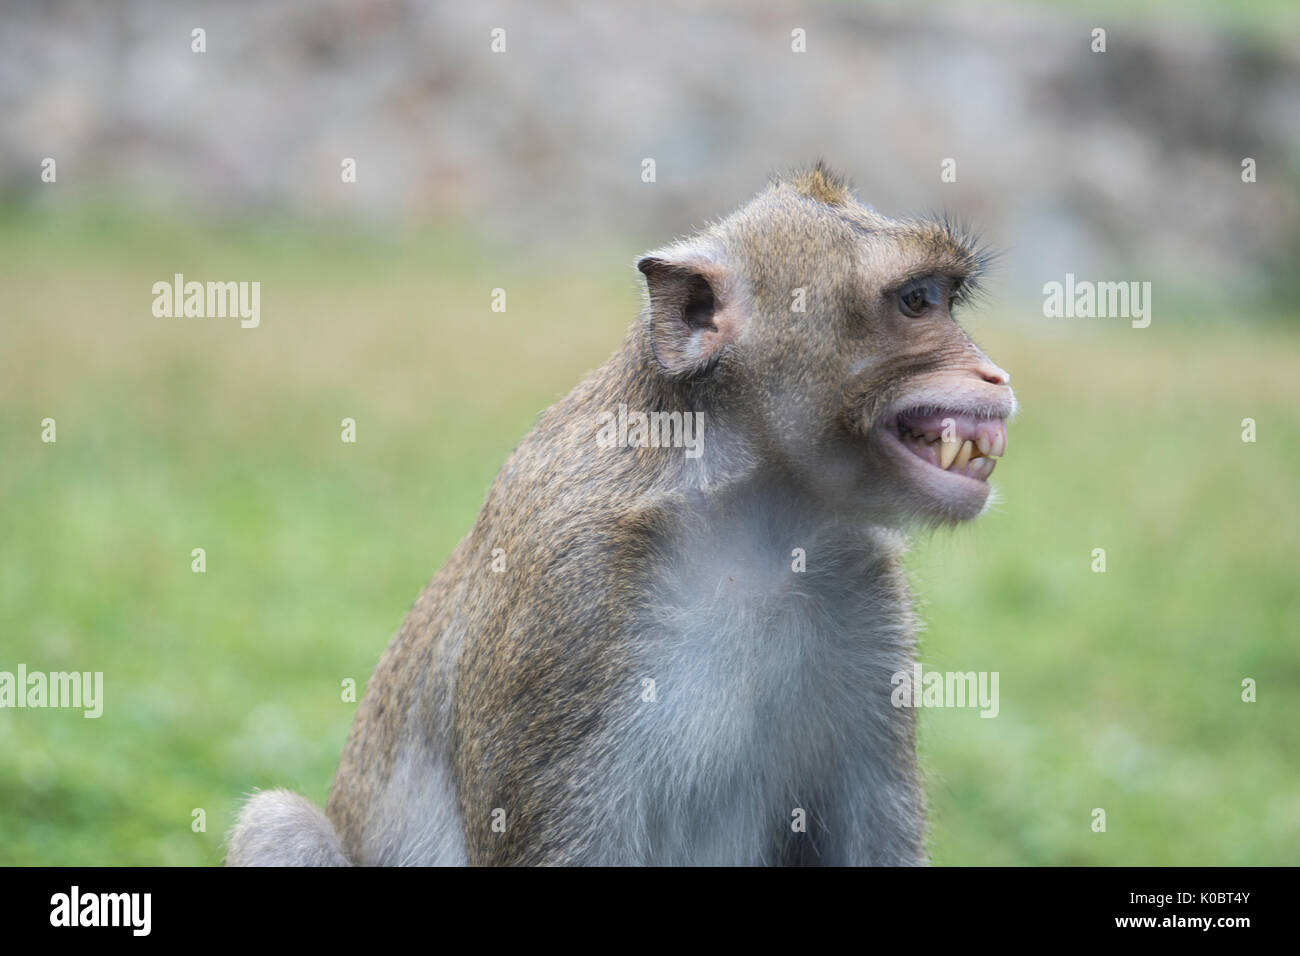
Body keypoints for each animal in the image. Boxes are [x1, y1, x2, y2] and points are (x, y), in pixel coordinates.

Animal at [227, 162, 1015, 866]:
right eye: (917, 301)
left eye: (944, 299)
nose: (996, 375)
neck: (756, 518)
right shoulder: (570, 596)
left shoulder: (865, 587)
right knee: (278, 825)